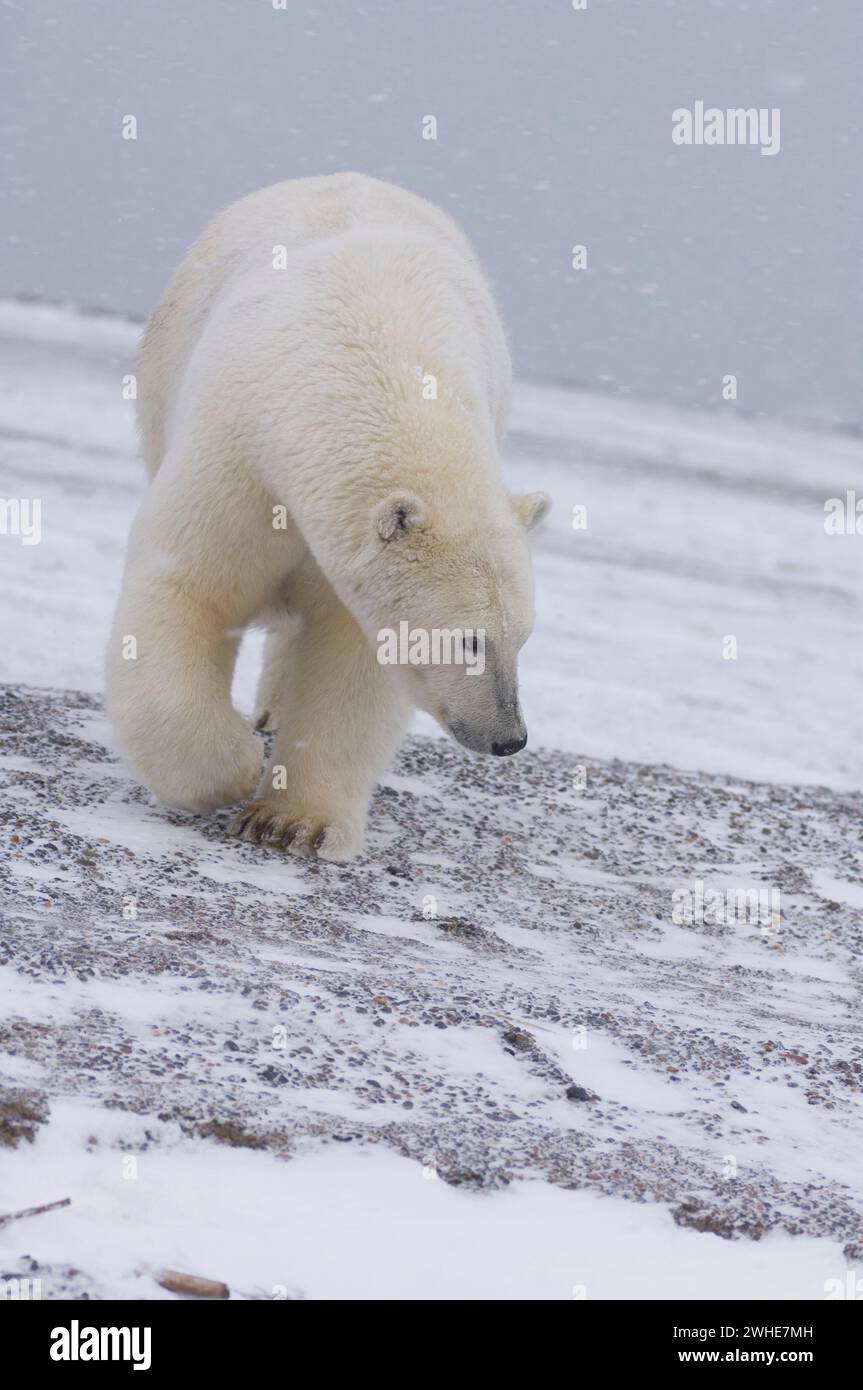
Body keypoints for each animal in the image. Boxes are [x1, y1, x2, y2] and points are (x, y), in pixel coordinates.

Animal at [105, 173, 550, 861]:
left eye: (523, 636)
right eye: (467, 640)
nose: (509, 737)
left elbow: (353, 653)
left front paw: (291, 823)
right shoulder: (241, 451)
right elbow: (191, 585)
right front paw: (232, 767)